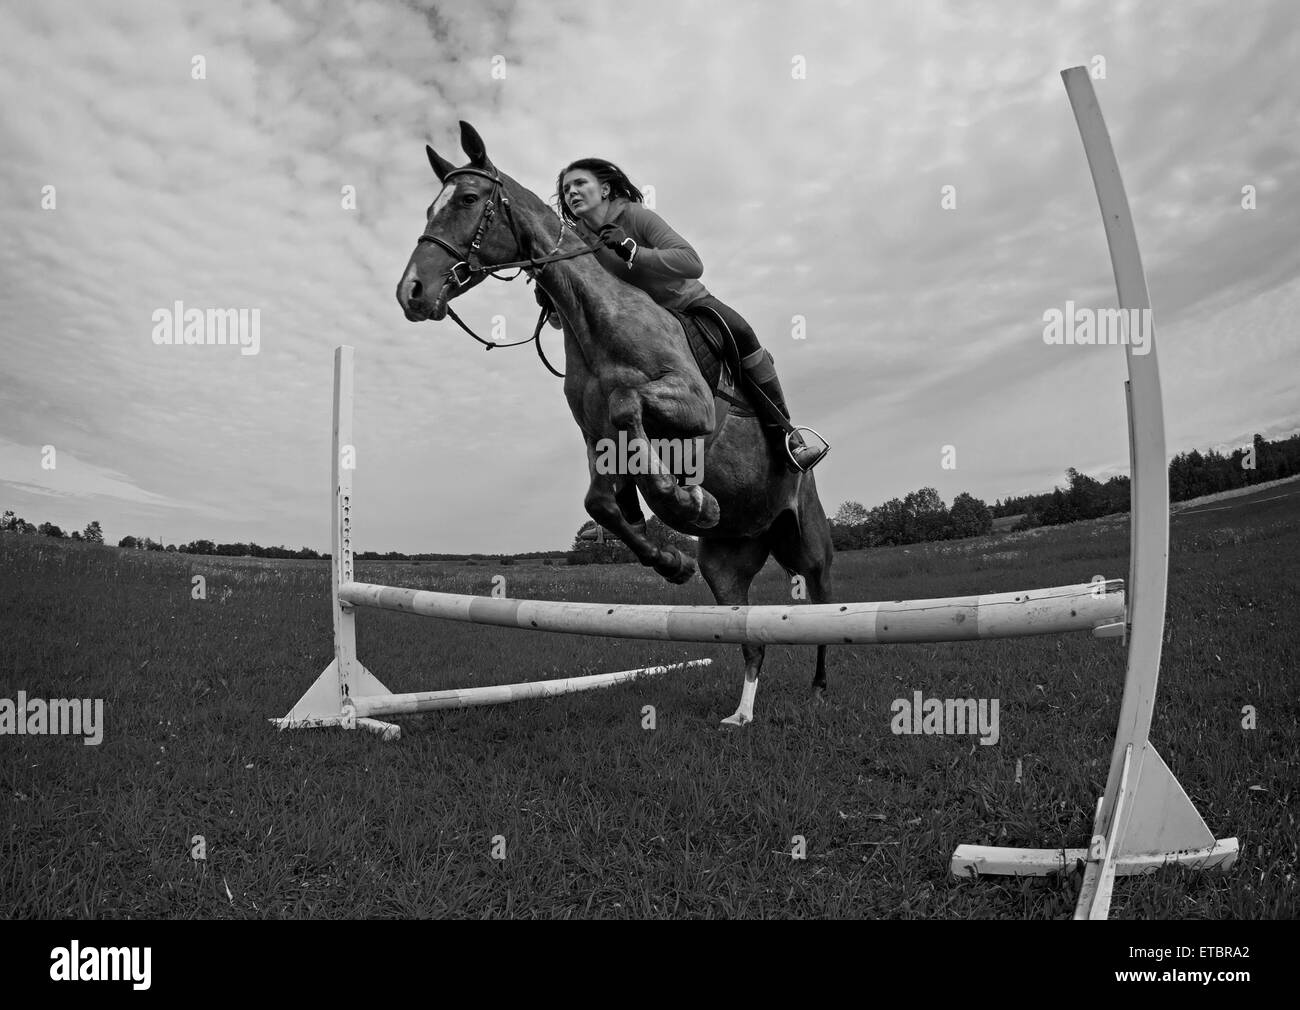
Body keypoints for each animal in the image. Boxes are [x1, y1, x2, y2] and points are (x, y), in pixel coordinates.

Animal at [396, 122, 834, 726]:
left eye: (466, 199)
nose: (411, 292)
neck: (593, 317)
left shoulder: (693, 405)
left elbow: (631, 406)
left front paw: (685, 501)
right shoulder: (597, 440)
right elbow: (602, 502)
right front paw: (669, 555)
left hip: (807, 541)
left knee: (824, 605)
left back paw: (817, 685)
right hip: (726, 564)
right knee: (752, 642)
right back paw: (740, 714)